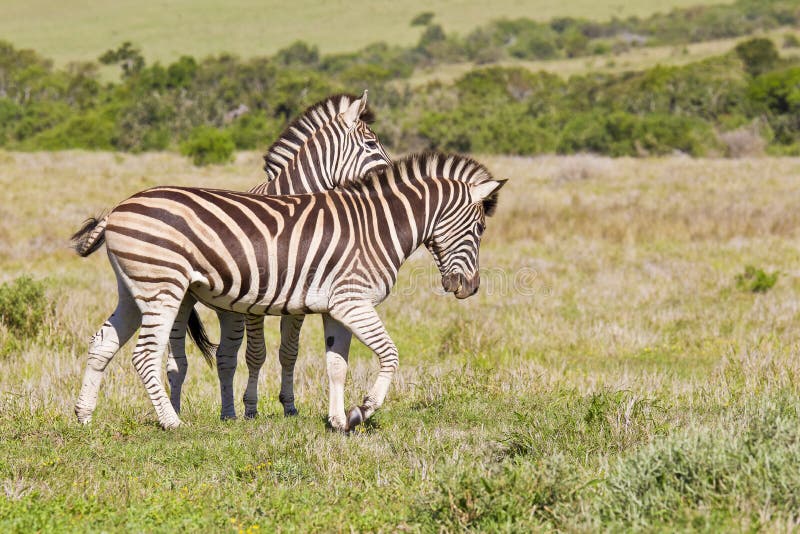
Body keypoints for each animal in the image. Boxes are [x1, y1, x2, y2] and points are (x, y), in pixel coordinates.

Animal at [71, 152, 505, 431]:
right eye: (480, 228)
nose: (469, 288)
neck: (377, 227)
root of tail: (118, 209)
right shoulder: (353, 301)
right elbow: (390, 354)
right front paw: (363, 411)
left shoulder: (335, 307)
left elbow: (336, 364)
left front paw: (338, 420)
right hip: (162, 287)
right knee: (144, 355)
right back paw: (171, 422)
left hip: (134, 292)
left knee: (102, 344)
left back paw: (84, 417)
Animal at [72, 91, 391, 426]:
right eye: (371, 144)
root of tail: (113, 213)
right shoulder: (256, 303)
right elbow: (256, 354)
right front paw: (251, 408)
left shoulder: (295, 304)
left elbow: (288, 352)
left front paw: (288, 406)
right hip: (178, 297)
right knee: (176, 361)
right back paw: (175, 412)